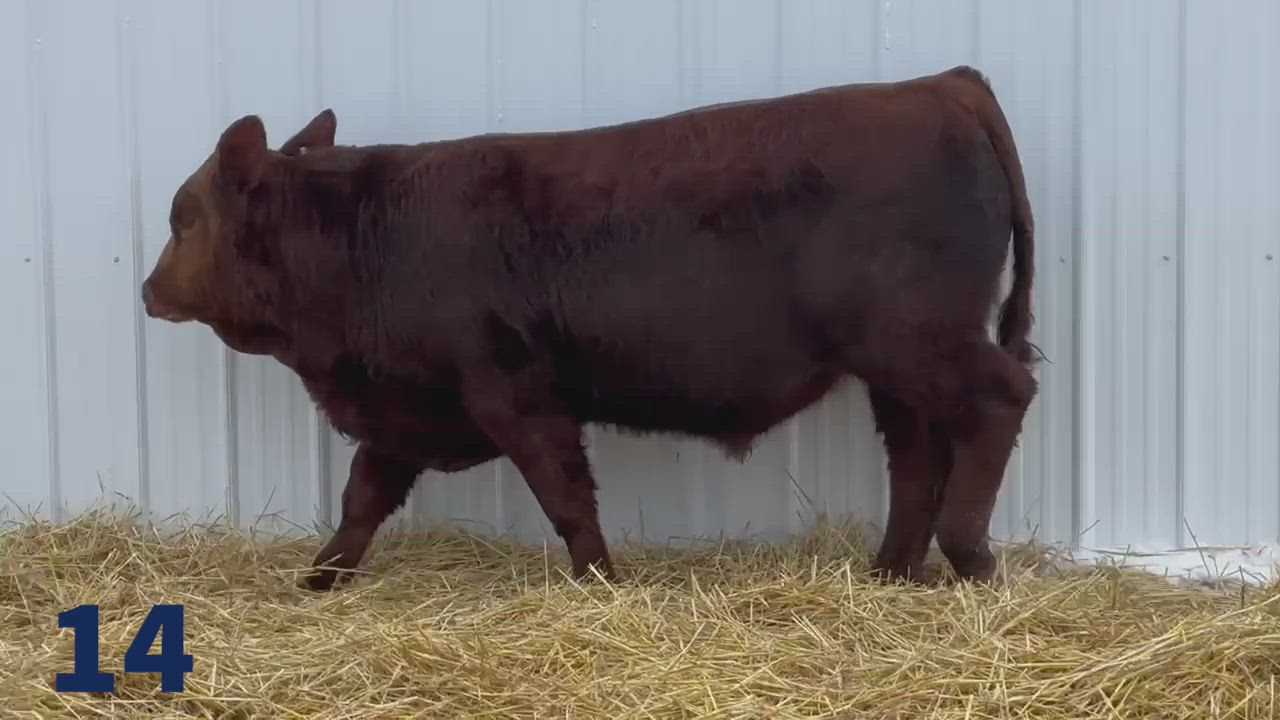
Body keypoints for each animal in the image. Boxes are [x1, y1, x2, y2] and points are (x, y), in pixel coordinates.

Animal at [140, 64, 1039, 591]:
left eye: (183, 217)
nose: (148, 290)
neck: (370, 234)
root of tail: (941, 84)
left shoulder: (515, 393)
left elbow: (565, 493)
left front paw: (601, 580)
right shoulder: (405, 410)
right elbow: (361, 500)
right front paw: (318, 579)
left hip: (921, 339)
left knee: (1004, 396)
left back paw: (969, 555)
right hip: (895, 364)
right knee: (916, 455)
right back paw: (892, 572)